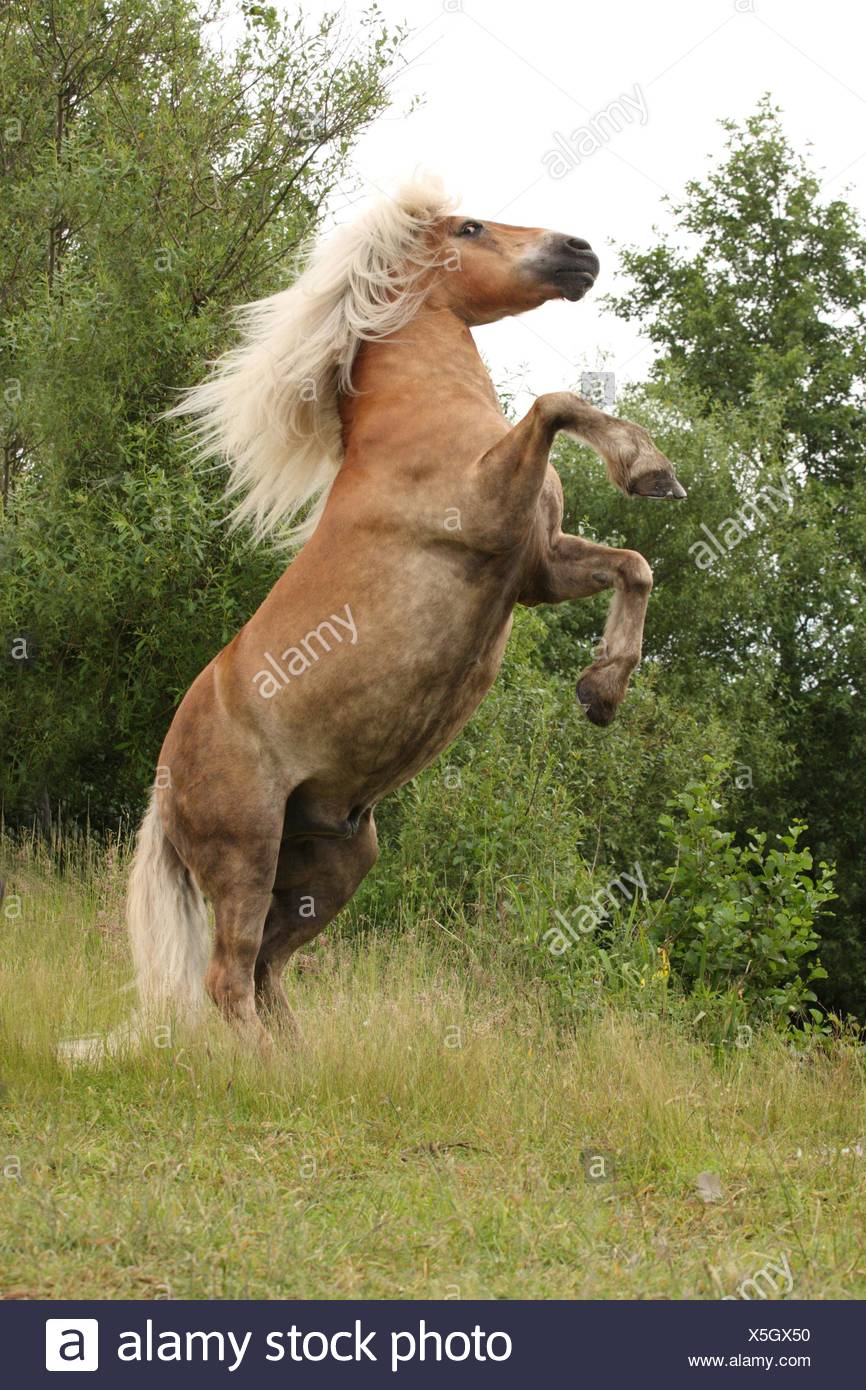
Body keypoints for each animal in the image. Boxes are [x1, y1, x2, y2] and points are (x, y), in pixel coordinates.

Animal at [120, 174, 686, 1046]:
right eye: (470, 227)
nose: (580, 252)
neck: (424, 421)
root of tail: (164, 783)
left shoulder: (534, 567)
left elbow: (635, 567)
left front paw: (602, 691)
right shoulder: (492, 512)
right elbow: (556, 403)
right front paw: (646, 465)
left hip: (333, 863)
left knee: (268, 970)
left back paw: (305, 1063)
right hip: (245, 852)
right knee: (229, 977)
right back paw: (264, 1070)